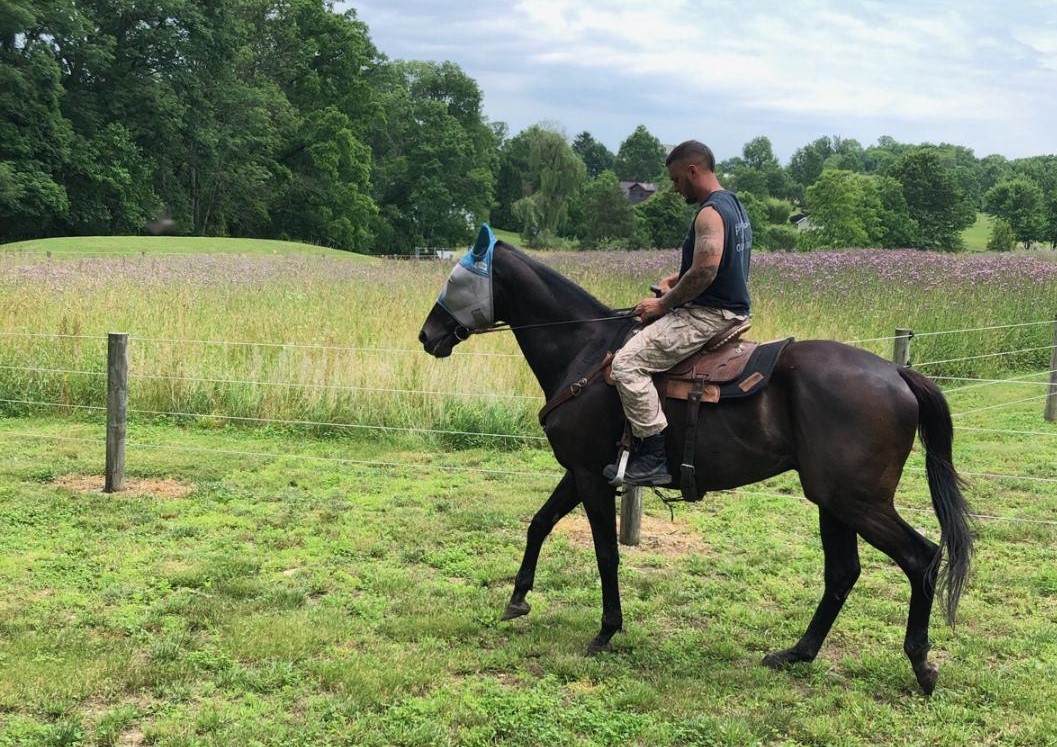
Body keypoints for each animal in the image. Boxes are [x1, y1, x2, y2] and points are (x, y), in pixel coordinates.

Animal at [418, 226, 973, 695]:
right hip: (832, 501)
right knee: (842, 573)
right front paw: (518, 598)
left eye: (455, 280)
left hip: (856, 501)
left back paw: (920, 664)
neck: (586, 350)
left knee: (921, 557)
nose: (427, 334)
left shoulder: (591, 477)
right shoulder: (579, 472)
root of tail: (898, 375)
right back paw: (797, 653)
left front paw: (606, 631)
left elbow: (605, 554)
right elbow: (538, 524)